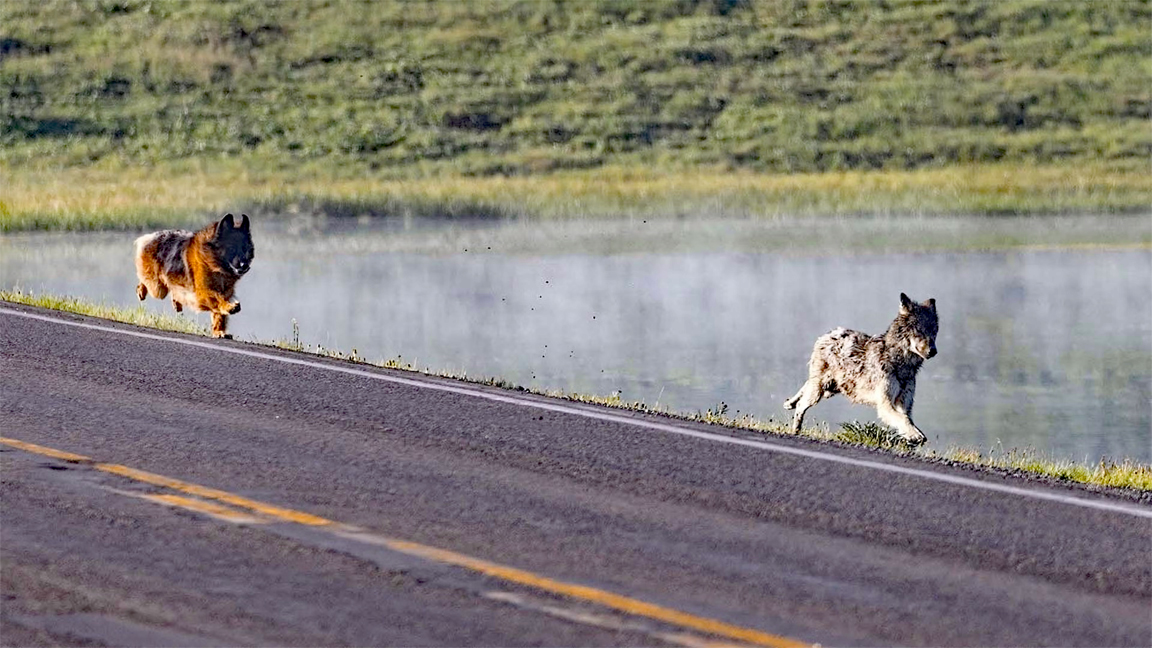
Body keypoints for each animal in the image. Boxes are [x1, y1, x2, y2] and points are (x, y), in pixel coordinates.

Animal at [784, 293, 938, 444]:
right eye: (919, 330)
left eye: (934, 332)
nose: (934, 351)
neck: (902, 365)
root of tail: (828, 334)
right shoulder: (884, 405)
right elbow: (903, 419)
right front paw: (915, 435)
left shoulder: (904, 405)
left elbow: (907, 420)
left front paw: (912, 436)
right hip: (820, 391)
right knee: (801, 404)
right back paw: (795, 428)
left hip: (831, 390)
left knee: (806, 385)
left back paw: (790, 403)